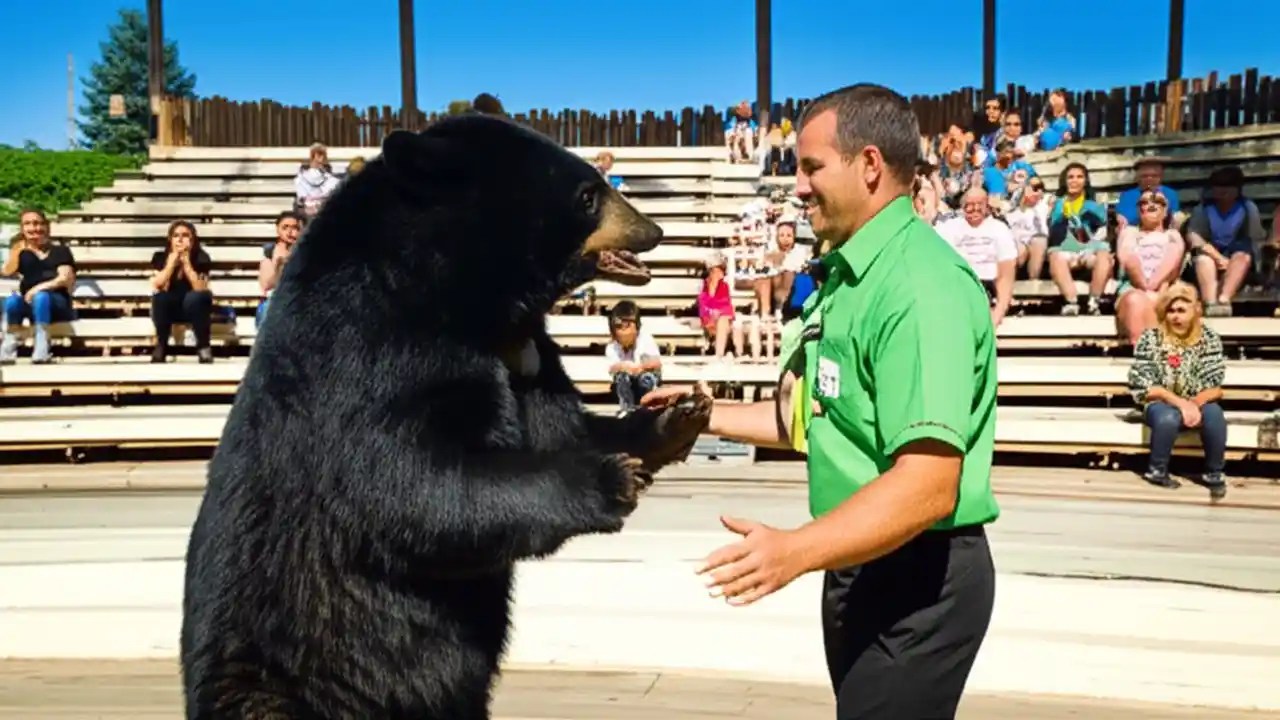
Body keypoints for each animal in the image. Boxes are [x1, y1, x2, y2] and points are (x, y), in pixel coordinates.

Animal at [179, 113, 711, 720]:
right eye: (588, 195)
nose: (653, 230)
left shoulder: (526, 354)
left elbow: (563, 426)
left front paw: (675, 417)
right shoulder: (369, 345)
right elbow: (405, 481)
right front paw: (610, 478)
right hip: (276, 674)